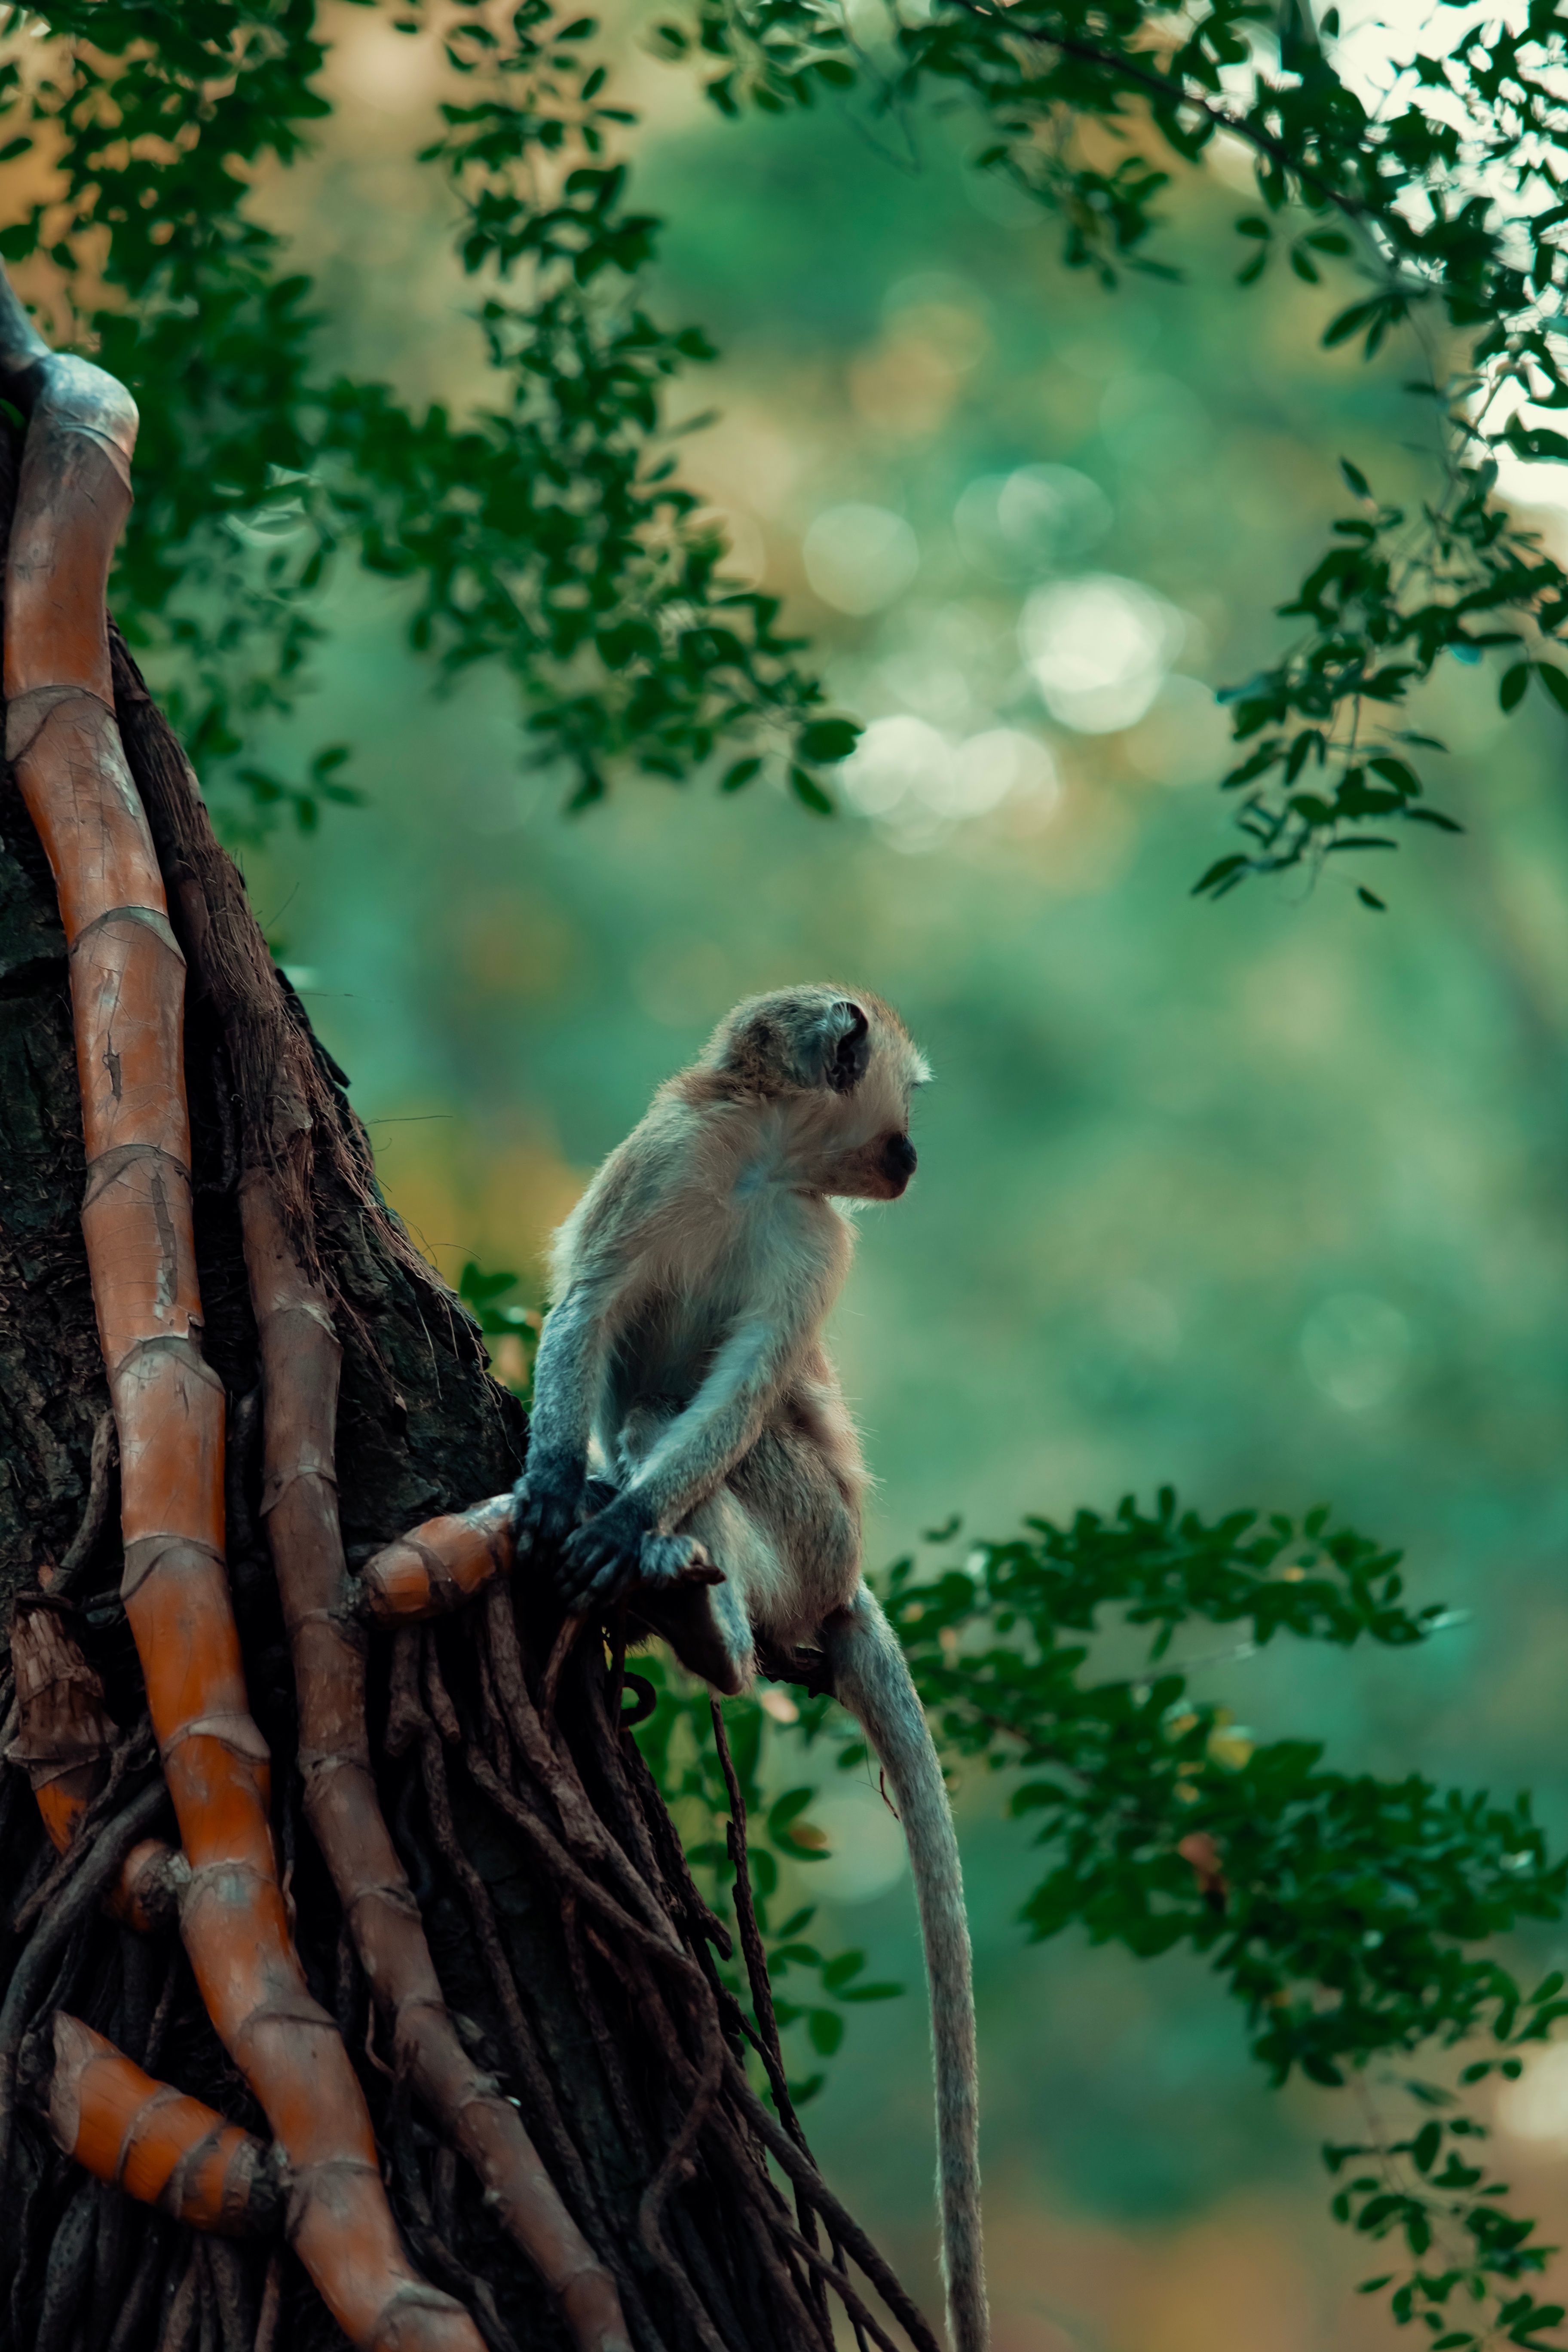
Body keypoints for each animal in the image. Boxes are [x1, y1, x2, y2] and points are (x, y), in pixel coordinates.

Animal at [512, 984, 987, 2352]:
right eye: (905, 1093)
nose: (916, 1155)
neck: (764, 1164)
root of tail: (842, 1578)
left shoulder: (820, 1246)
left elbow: (747, 1381)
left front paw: (622, 1519)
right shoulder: (662, 1160)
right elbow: (592, 1307)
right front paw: (556, 1484)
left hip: (808, 1532)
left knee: (720, 1442)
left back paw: (701, 1621)